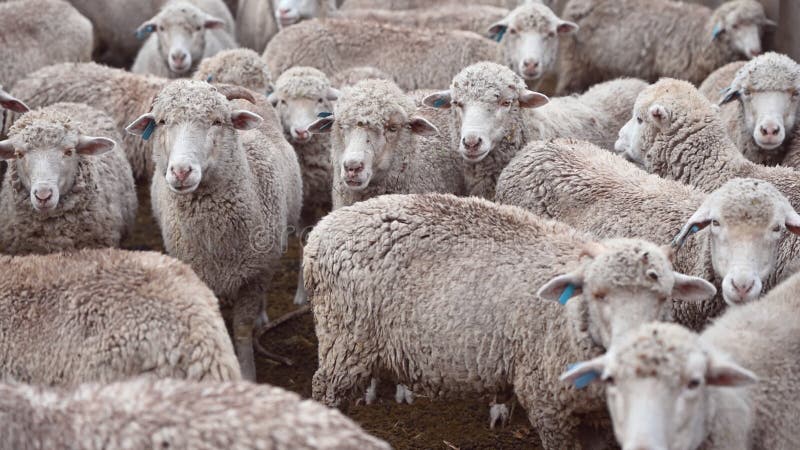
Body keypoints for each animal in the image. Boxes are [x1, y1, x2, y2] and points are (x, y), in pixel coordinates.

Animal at [126, 80, 302, 380]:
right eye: (162, 122)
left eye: (217, 122)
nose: (181, 171)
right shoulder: (201, 272)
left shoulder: (256, 274)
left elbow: (242, 329)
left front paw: (247, 373)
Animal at [305, 193, 716, 448]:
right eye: (597, 294)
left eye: (663, 296)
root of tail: (321, 232)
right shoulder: (547, 401)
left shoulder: (597, 415)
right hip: (345, 339)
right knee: (325, 388)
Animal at [556, 0, 774, 94]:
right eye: (734, 26)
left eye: (760, 26)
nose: (755, 50)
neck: (700, 35)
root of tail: (577, 4)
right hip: (575, 61)